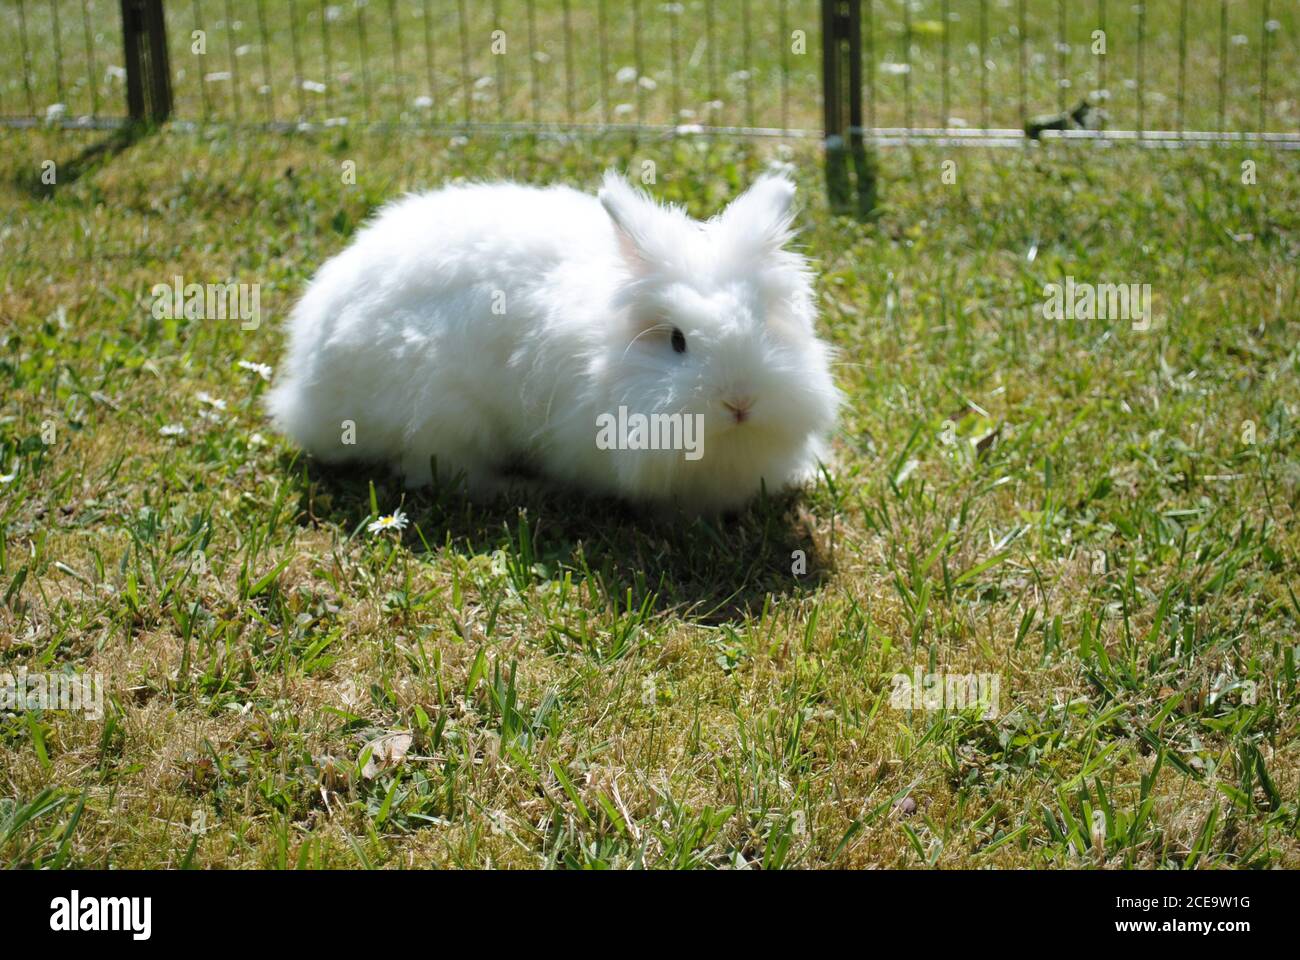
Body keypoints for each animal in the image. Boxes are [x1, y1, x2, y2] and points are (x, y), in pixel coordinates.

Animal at [266, 170, 841, 514]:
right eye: (677, 341)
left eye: (763, 326)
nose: (740, 402)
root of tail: (307, 392)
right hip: (443, 413)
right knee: (438, 473)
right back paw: (525, 489)